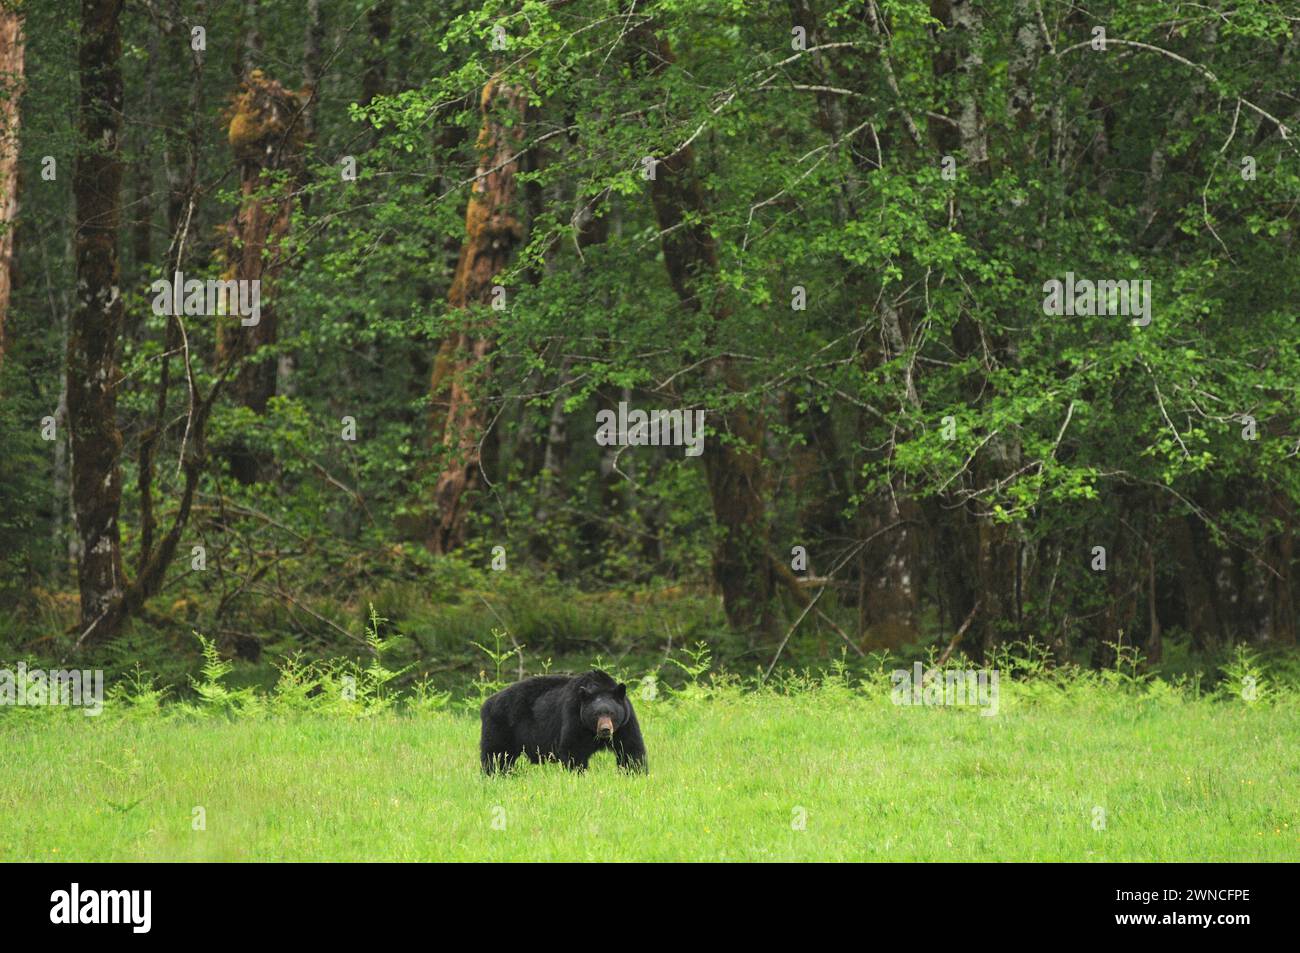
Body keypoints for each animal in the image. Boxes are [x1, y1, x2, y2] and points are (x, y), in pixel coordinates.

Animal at [479, 669, 647, 775]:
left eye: (611, 713)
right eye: (596, 714)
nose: (605, 729)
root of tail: (487, 703)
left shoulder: (625, 723)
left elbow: (630, 749)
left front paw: (635, 773)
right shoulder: (574, 717)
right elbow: (574, 749)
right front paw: (578, 774)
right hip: (500, 725)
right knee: (496, 755)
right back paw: (494, 775)